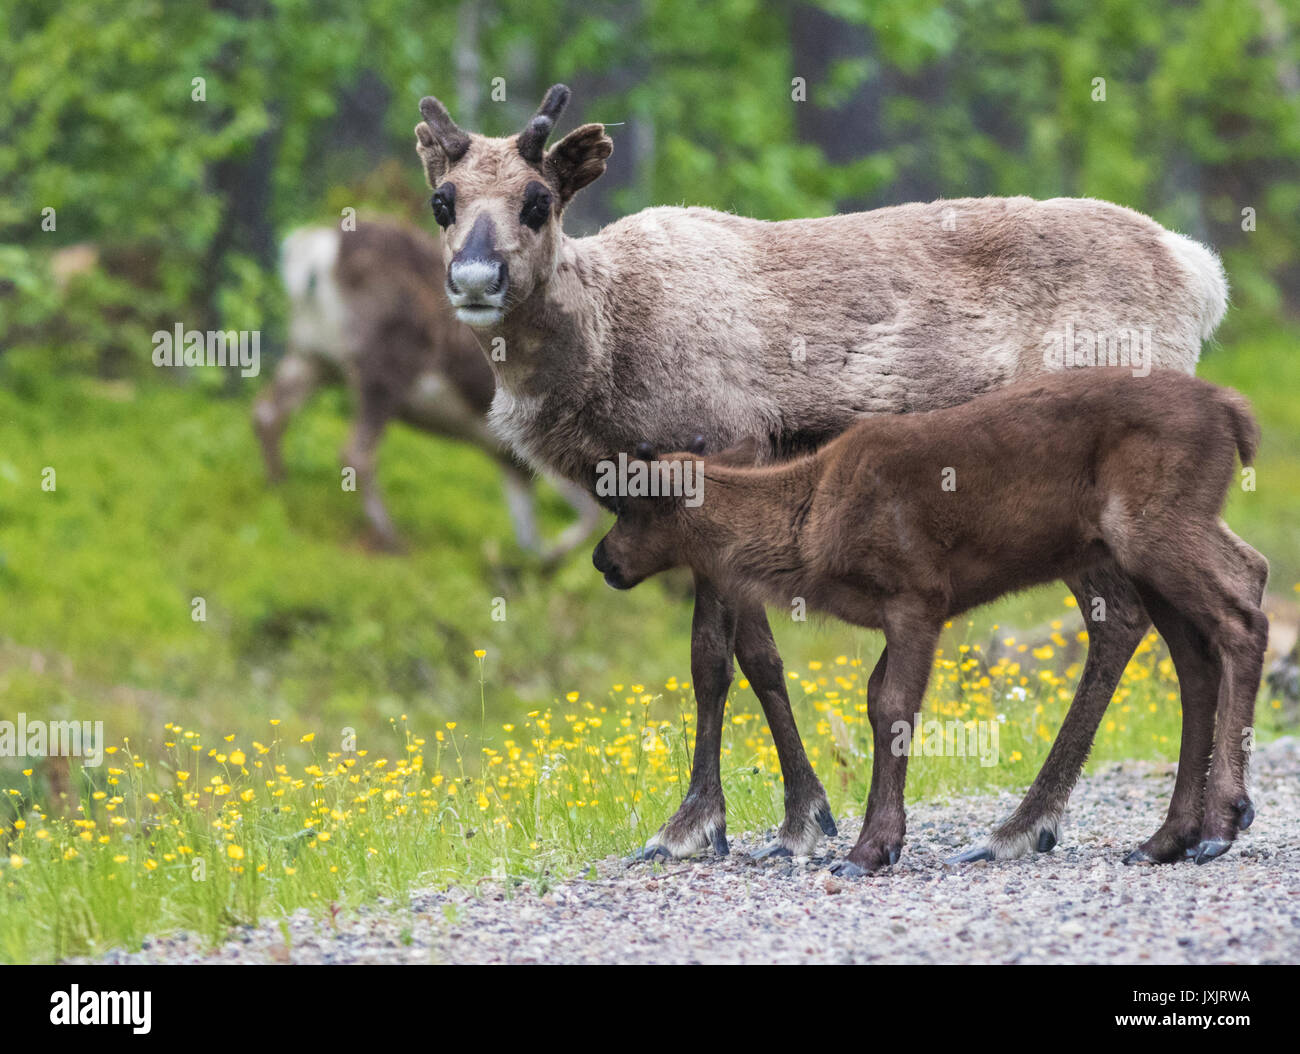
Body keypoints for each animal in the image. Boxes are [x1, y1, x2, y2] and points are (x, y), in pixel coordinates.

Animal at [252, 218, 600, 559]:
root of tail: (312, 254)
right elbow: (584, 519)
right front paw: (550, 558)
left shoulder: (507, 455)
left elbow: (527, 526)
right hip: (382, 367)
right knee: (356, 451)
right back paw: (393, 540)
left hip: (311, 355)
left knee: (268, 411)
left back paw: (279, 488)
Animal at [593, 370, 1269, 872]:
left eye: (627, 504)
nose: (603, 559)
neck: (808, 522)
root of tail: (1235, 411)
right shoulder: (900, 613)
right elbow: (873, 699)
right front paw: (878, 839)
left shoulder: (917, 595)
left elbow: (894, 707)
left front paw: (869, 850)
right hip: (1144, 551)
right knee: (1200, 647)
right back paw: (1167, 837)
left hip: (1155, 528)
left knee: (1243, 608)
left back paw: (1221, 821)